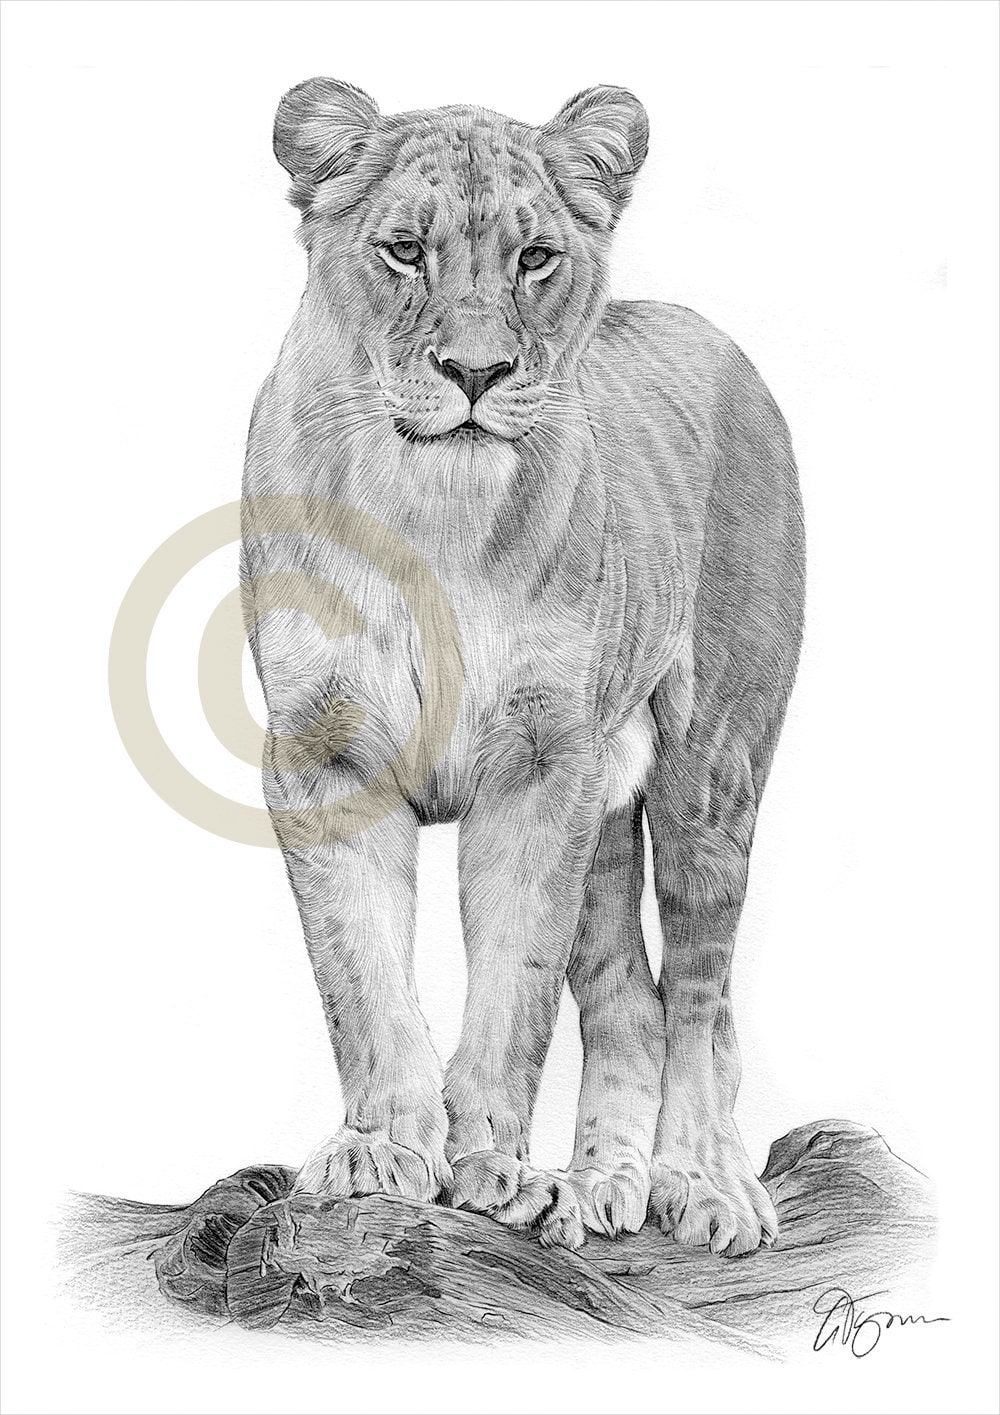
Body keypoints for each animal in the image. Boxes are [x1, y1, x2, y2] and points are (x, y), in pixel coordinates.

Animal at [239, 78, 804, 1255]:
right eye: (404, 250)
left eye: (535, 258)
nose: (476, 372)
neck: (433, 512)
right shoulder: (324, 754)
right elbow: (361, 977)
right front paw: (381, 1154)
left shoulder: (541, 765)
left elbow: (512, 990)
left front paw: (491, 1167)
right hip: (607, 806)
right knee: (631, 1003)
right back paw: (601, 1186)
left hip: (710, 773)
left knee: (700, 995)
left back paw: (706, 1183)